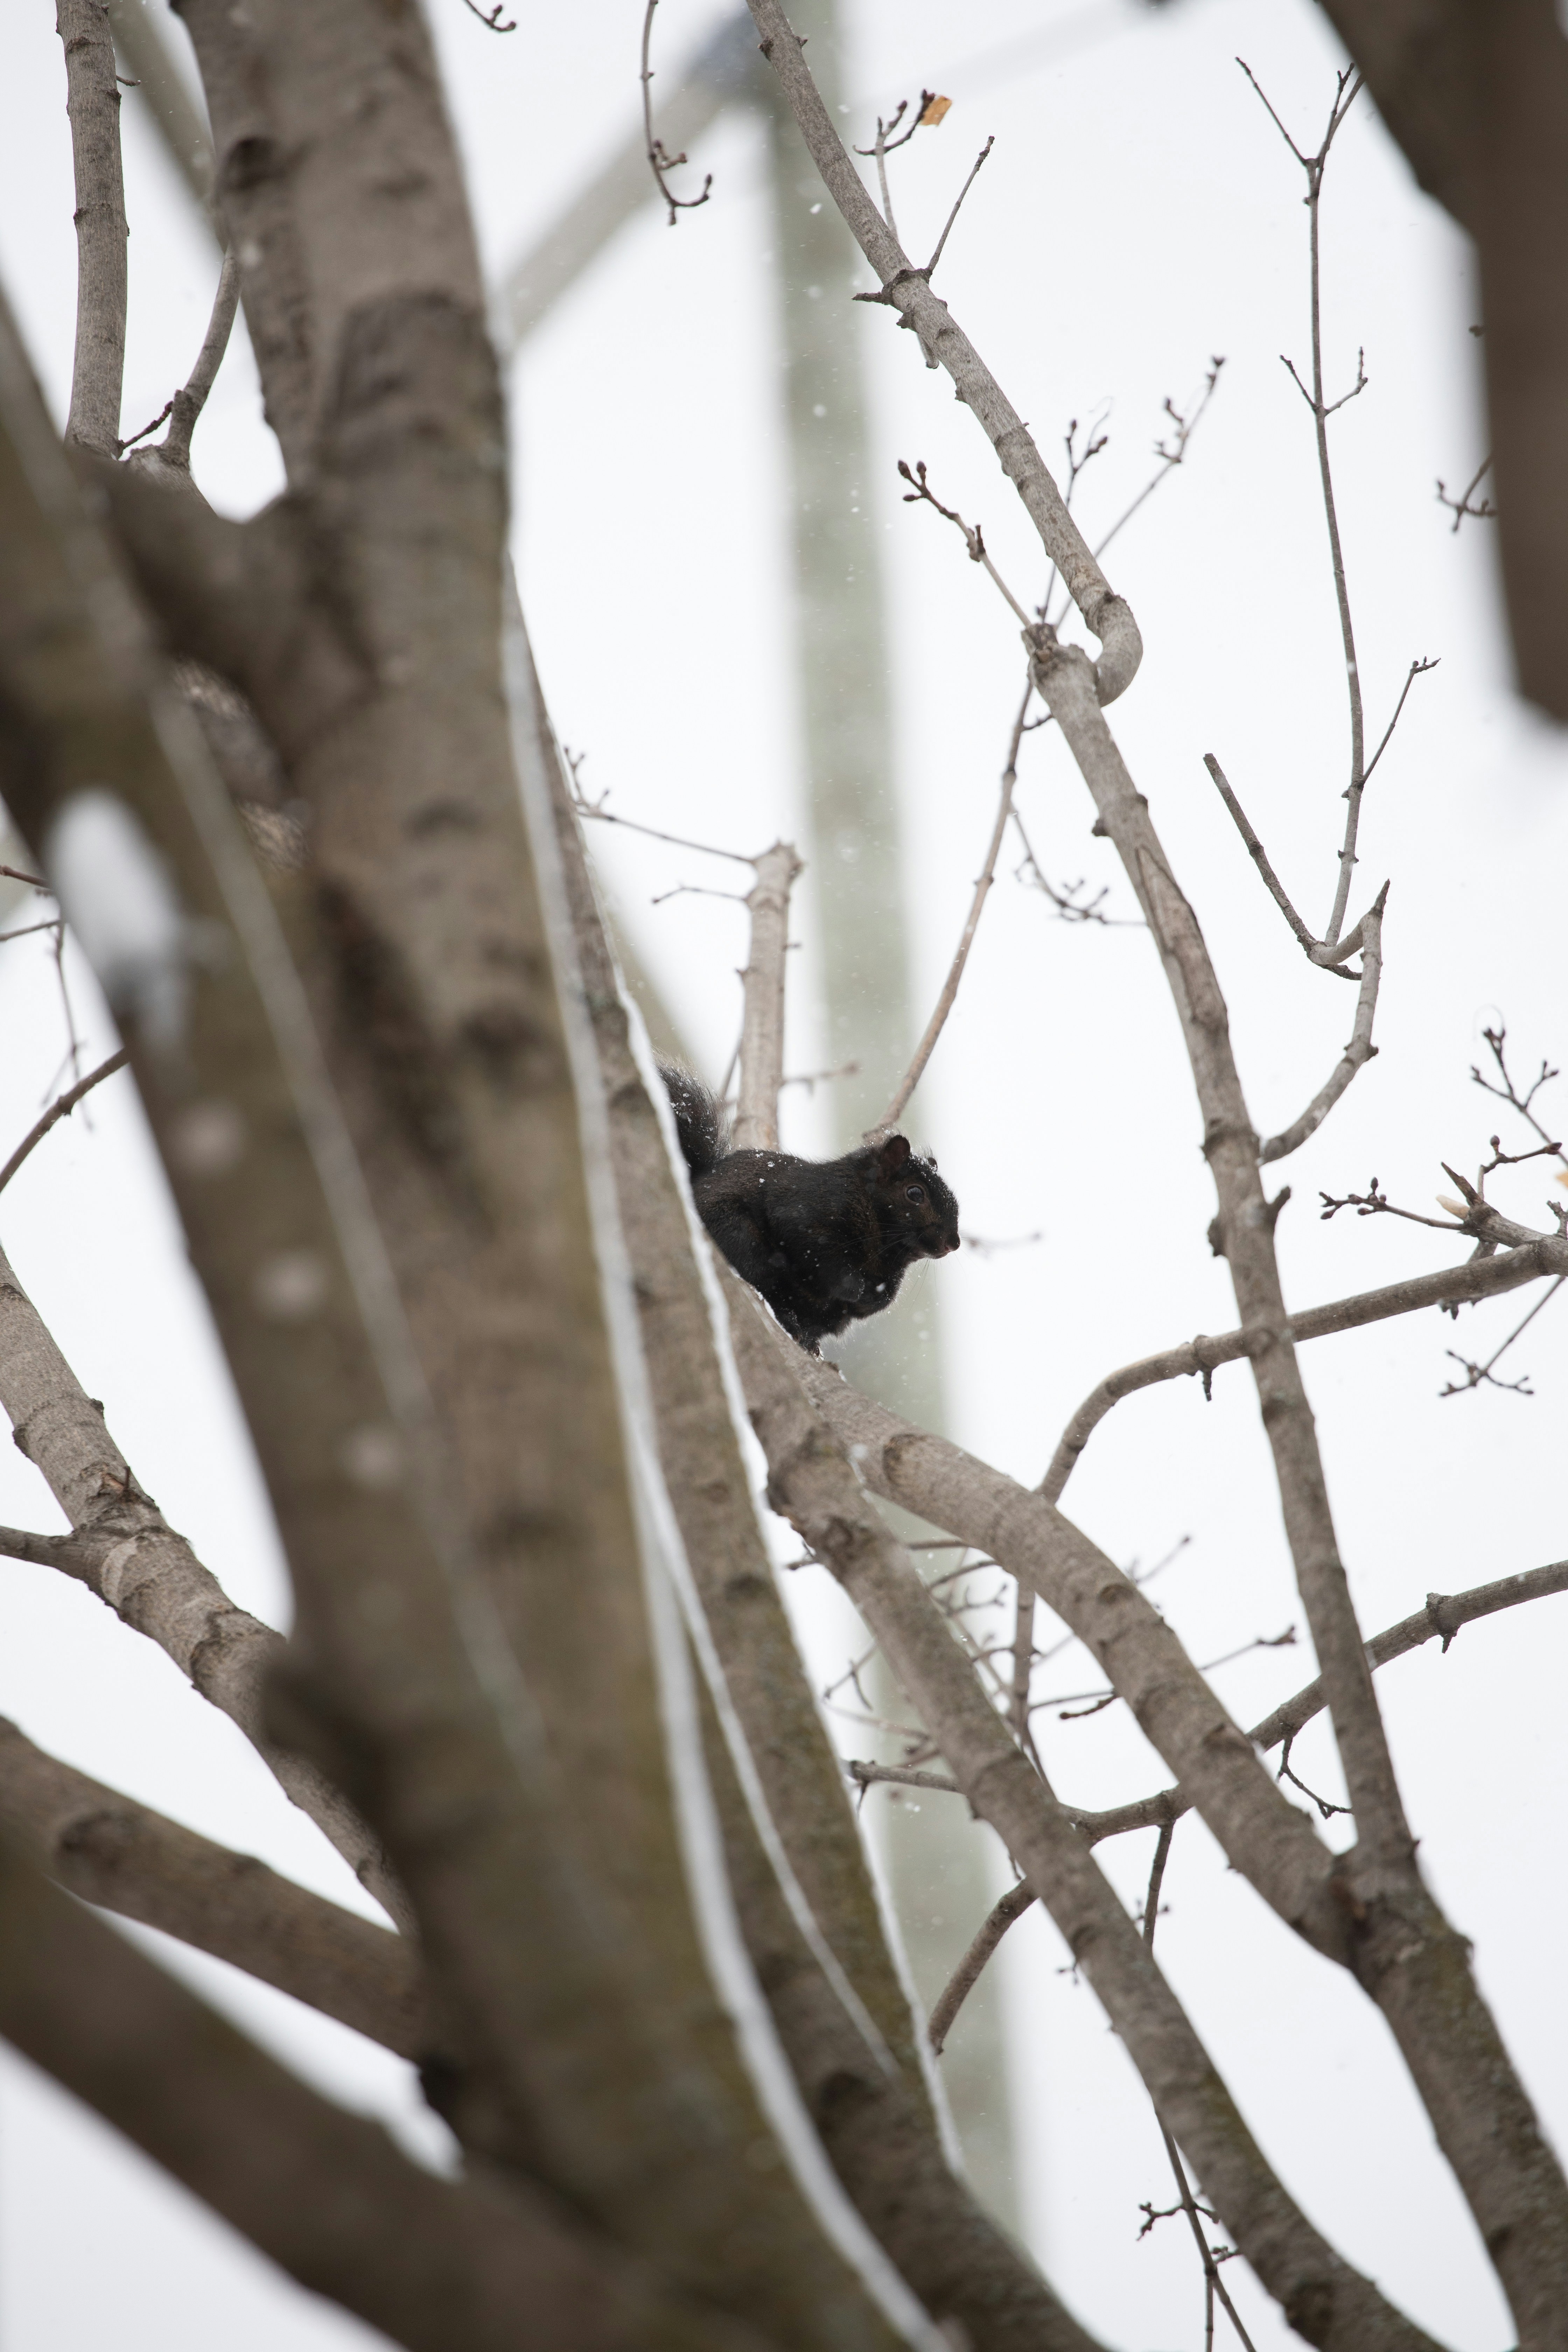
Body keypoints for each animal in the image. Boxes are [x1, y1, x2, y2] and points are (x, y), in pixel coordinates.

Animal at [660, 1064, 961, 1353]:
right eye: (915, 1193)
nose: (954, 1243)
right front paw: (855, 1287)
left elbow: (881, 1301)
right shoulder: (805, 1212)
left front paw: (874, 1297)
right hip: (737, 1233)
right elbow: (823, 1256)